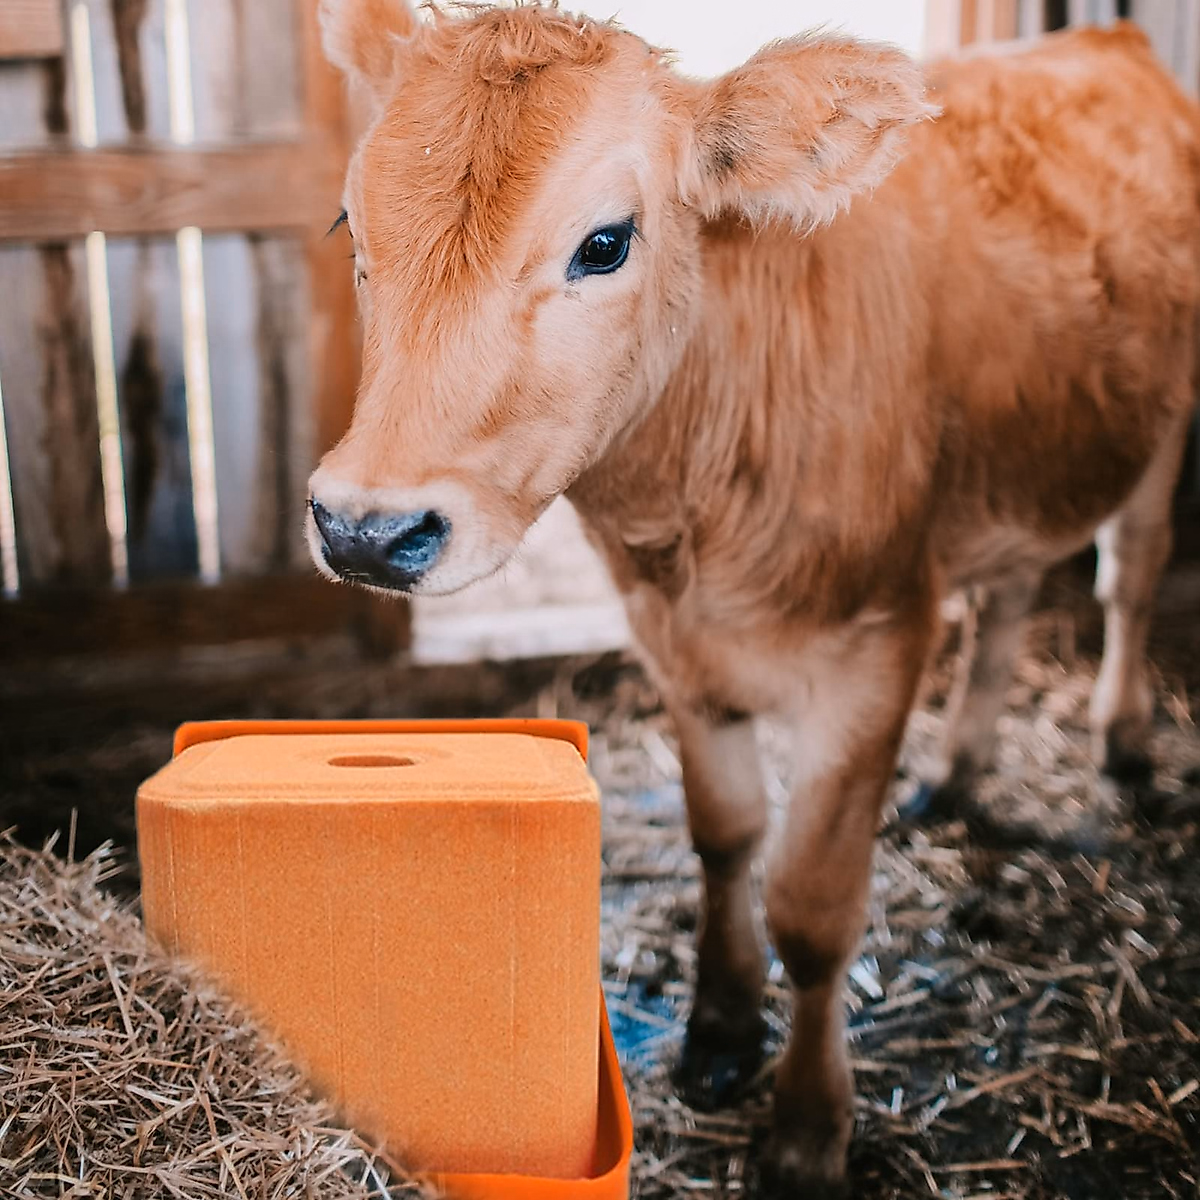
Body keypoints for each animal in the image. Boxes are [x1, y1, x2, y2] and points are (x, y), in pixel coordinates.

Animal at [308, 1, 1200, 1189]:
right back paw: (959, 771)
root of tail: (1108, 42)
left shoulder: (878, 647)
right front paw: (722, 1028)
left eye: (605, 243)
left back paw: (1126, 745)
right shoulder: (675, 647)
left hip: (1164, 421)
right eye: (351, 229)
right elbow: (725, 835)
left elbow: (813, 912)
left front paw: (808, 1128)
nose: (366, 528)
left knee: (1131, 574)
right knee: (1009, 596)